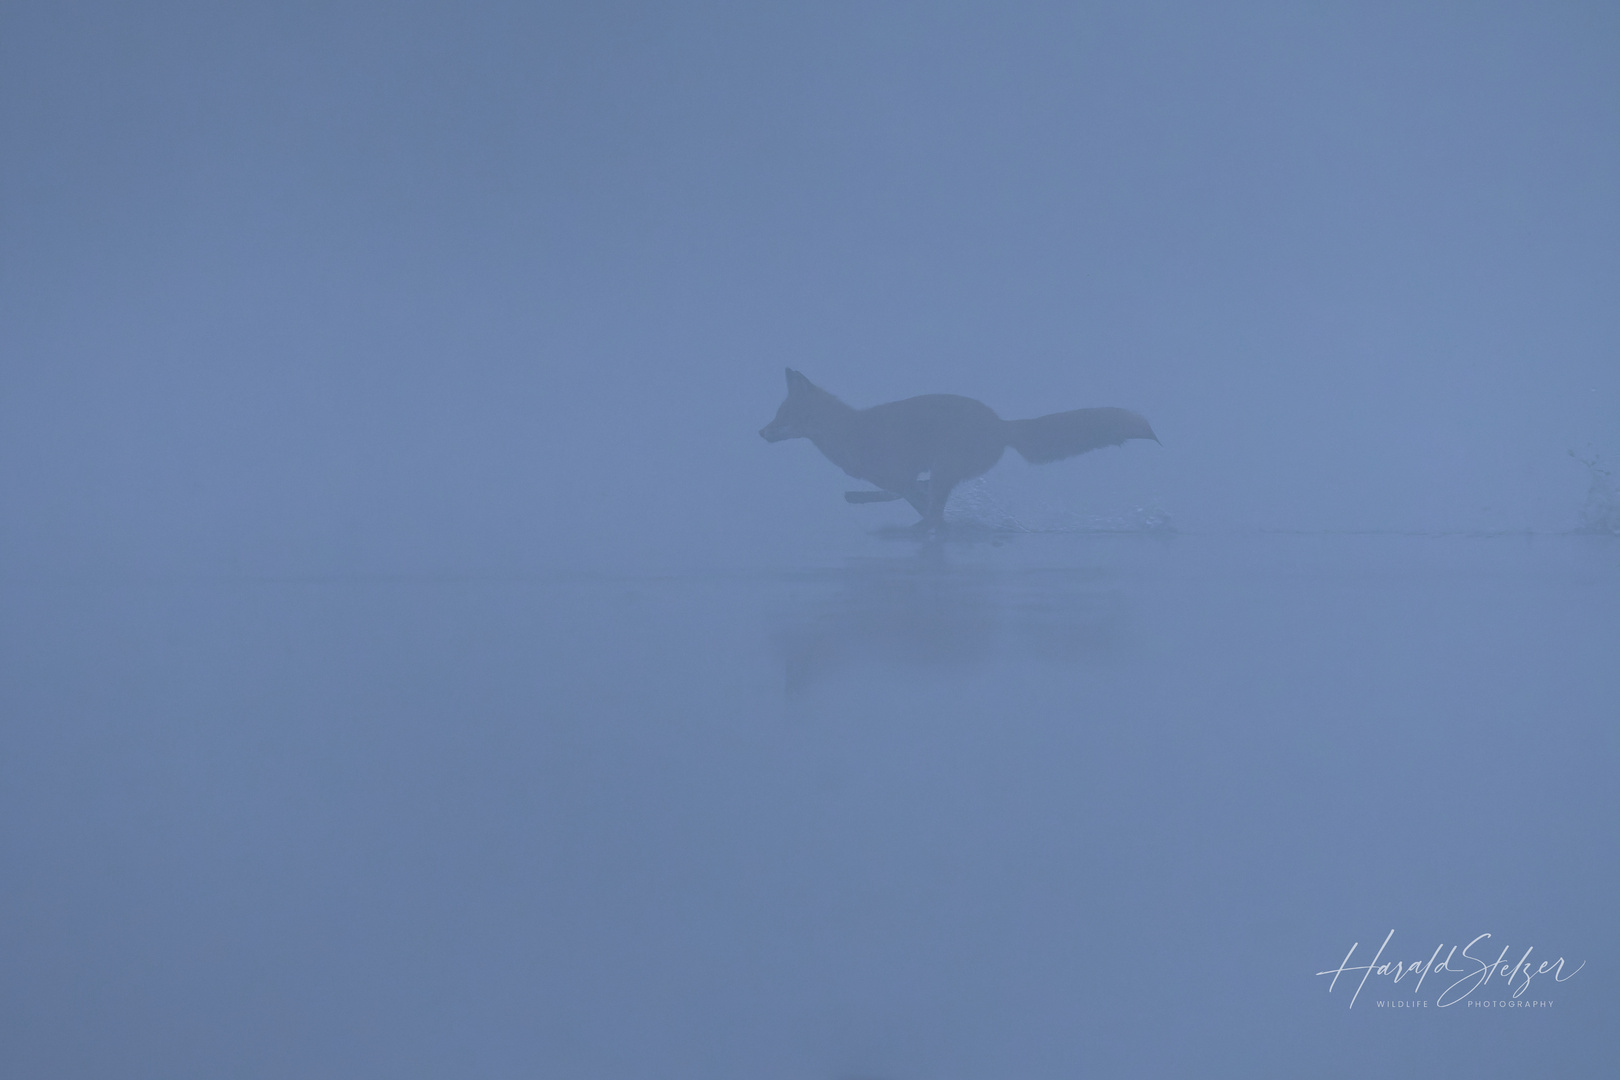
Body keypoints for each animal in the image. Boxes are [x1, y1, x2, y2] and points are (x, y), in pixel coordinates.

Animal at [760, 368, 1159, 530]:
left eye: (783, 417)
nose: (760, 432)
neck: (847, 432)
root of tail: (1001, 423)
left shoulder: (901, 476)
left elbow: (922, 504)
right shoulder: (901, 480)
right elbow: (917, 501)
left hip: (945, 467)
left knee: (933, 513)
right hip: (945, 471)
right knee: (932, 510)